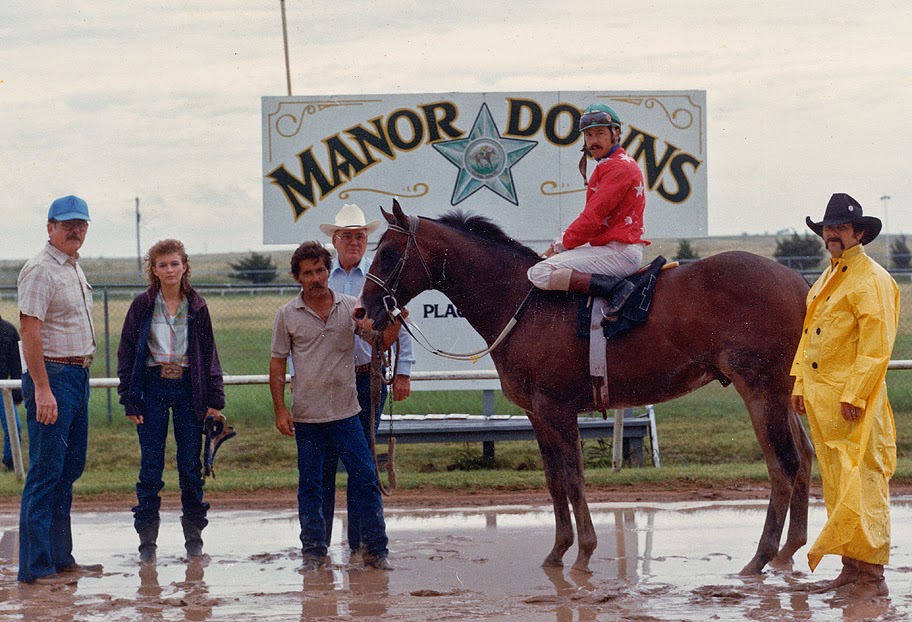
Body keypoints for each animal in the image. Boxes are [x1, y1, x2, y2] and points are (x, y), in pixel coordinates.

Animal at [360, 200, 814, 575]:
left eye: (388, 253)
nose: (363, 311)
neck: (522, 303)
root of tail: (798, 282)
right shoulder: (537, 413)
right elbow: (554, 480)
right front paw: (558, 551)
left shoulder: (558, 409)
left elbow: (574, 478)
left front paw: (584, 553)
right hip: (780, 394)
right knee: (805, 457)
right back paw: (788, 551)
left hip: (760, 390)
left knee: (784, 464)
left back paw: (760, 557)